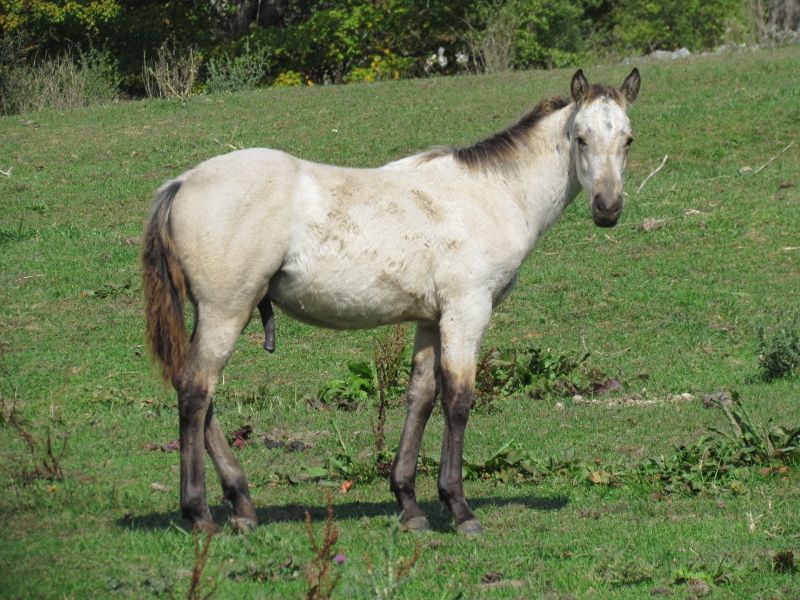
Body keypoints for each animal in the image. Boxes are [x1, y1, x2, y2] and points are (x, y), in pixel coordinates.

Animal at [142, 68, 640, 535]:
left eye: (628, 139)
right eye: (580, 137)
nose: (607, 207)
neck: (492, 193)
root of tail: (182, 182)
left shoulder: (430, 319)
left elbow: (419, 397)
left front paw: (409, 505)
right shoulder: (467, 311)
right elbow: (458, 399)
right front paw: (459, 509)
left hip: (214, 313)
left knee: (200, 397)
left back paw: (242, 505)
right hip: (226, 310)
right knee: (196, 392)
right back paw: (201, 513)